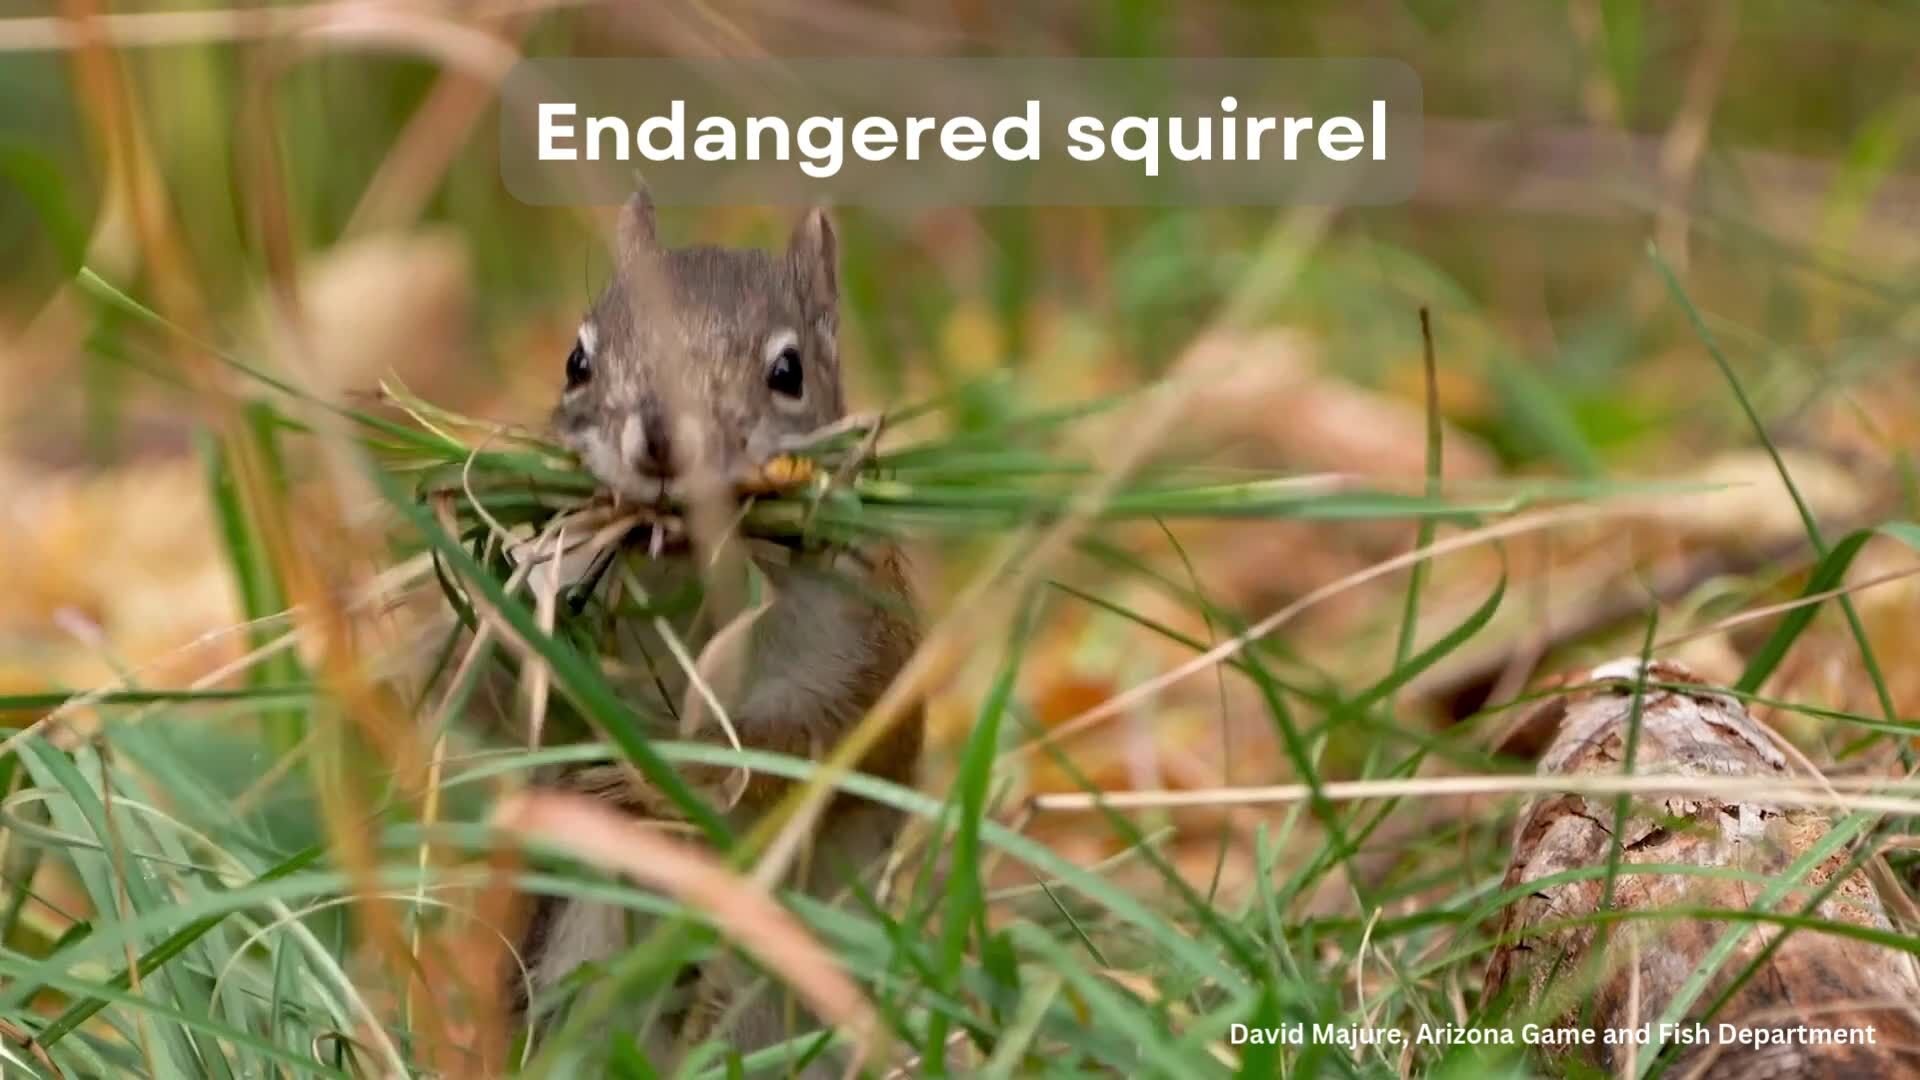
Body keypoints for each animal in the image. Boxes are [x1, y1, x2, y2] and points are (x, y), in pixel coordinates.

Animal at [512, 189, 921, 1069]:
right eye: (577, 360)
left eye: (788, 373)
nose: (663, 439)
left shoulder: (853, 658)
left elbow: (794, 755)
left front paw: (661, 770)